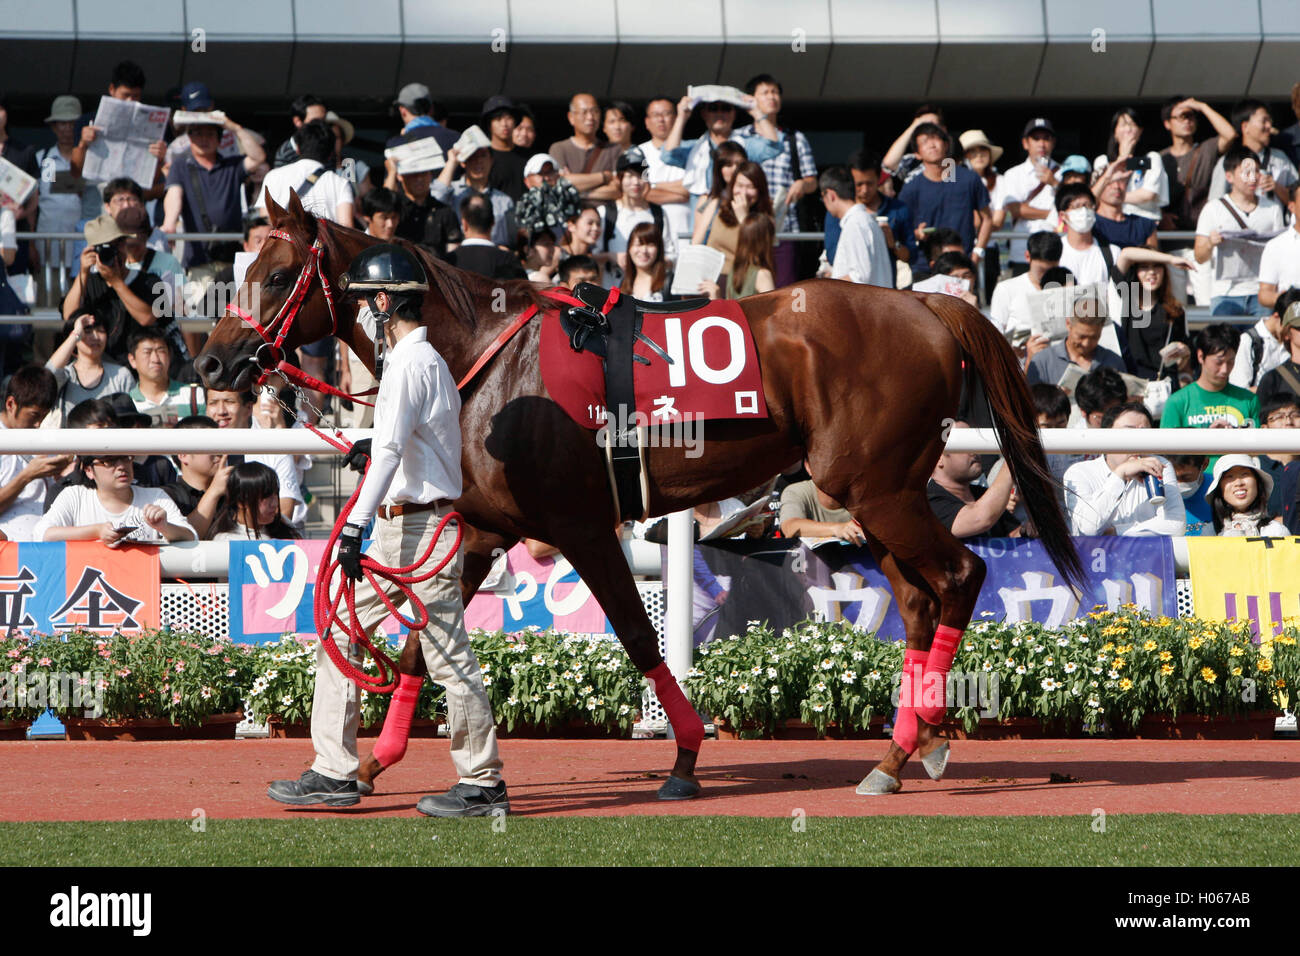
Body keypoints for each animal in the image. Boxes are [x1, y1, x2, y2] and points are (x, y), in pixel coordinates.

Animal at [197, 191, 1082, 797]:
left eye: (277, 274)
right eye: (242, 270)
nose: (211, 361)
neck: (485, 354)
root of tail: (928, 303)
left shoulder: (581, 523)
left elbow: (636, 633)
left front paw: (685, 755)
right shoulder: (483, 528)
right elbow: (423, 643)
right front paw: (368, 765)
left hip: (878, 490)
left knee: (960, 576)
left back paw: (909, 744)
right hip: (879, 496)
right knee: (921, 596)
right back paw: (905, 749)